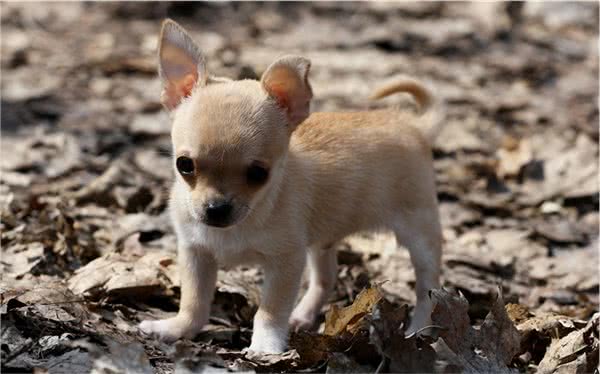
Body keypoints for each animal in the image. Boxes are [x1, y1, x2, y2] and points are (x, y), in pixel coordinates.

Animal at [138, 20, 442, 354]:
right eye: (184, 165)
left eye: (258, 173)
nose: (216, 209)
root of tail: (412, 124)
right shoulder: (196, 253)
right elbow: (194, 301)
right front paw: (177, 328)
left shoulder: (285, 263)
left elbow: (270, 310)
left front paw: (266, 345)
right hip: (322, 243)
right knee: (325, 279)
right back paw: (303, 316)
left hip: (419, 233)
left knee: (429, 288)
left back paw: (419, 329)